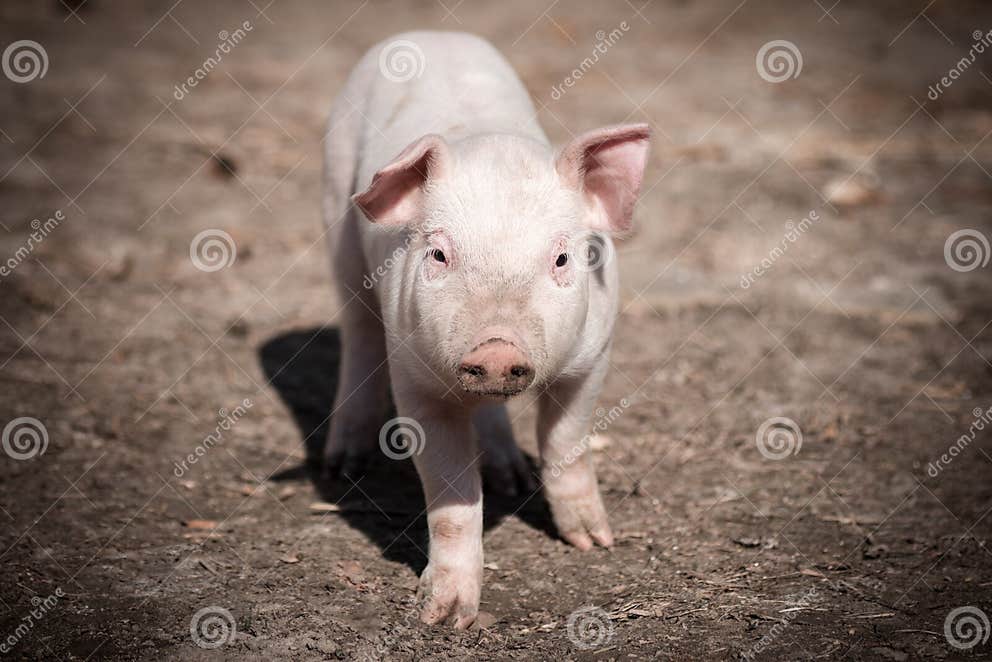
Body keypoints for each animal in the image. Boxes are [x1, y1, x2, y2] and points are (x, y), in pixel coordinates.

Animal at [321, 31, 650, 628]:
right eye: (438, 254)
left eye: (562, 258)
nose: (496, 349)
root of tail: (426, 35)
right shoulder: (415, 378)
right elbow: (451, 497)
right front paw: (444, 618)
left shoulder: (594, 354)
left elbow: (567, 440)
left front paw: (594, 543)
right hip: (335, 209)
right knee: (357, 330)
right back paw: (343, 467)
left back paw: (510, 476)